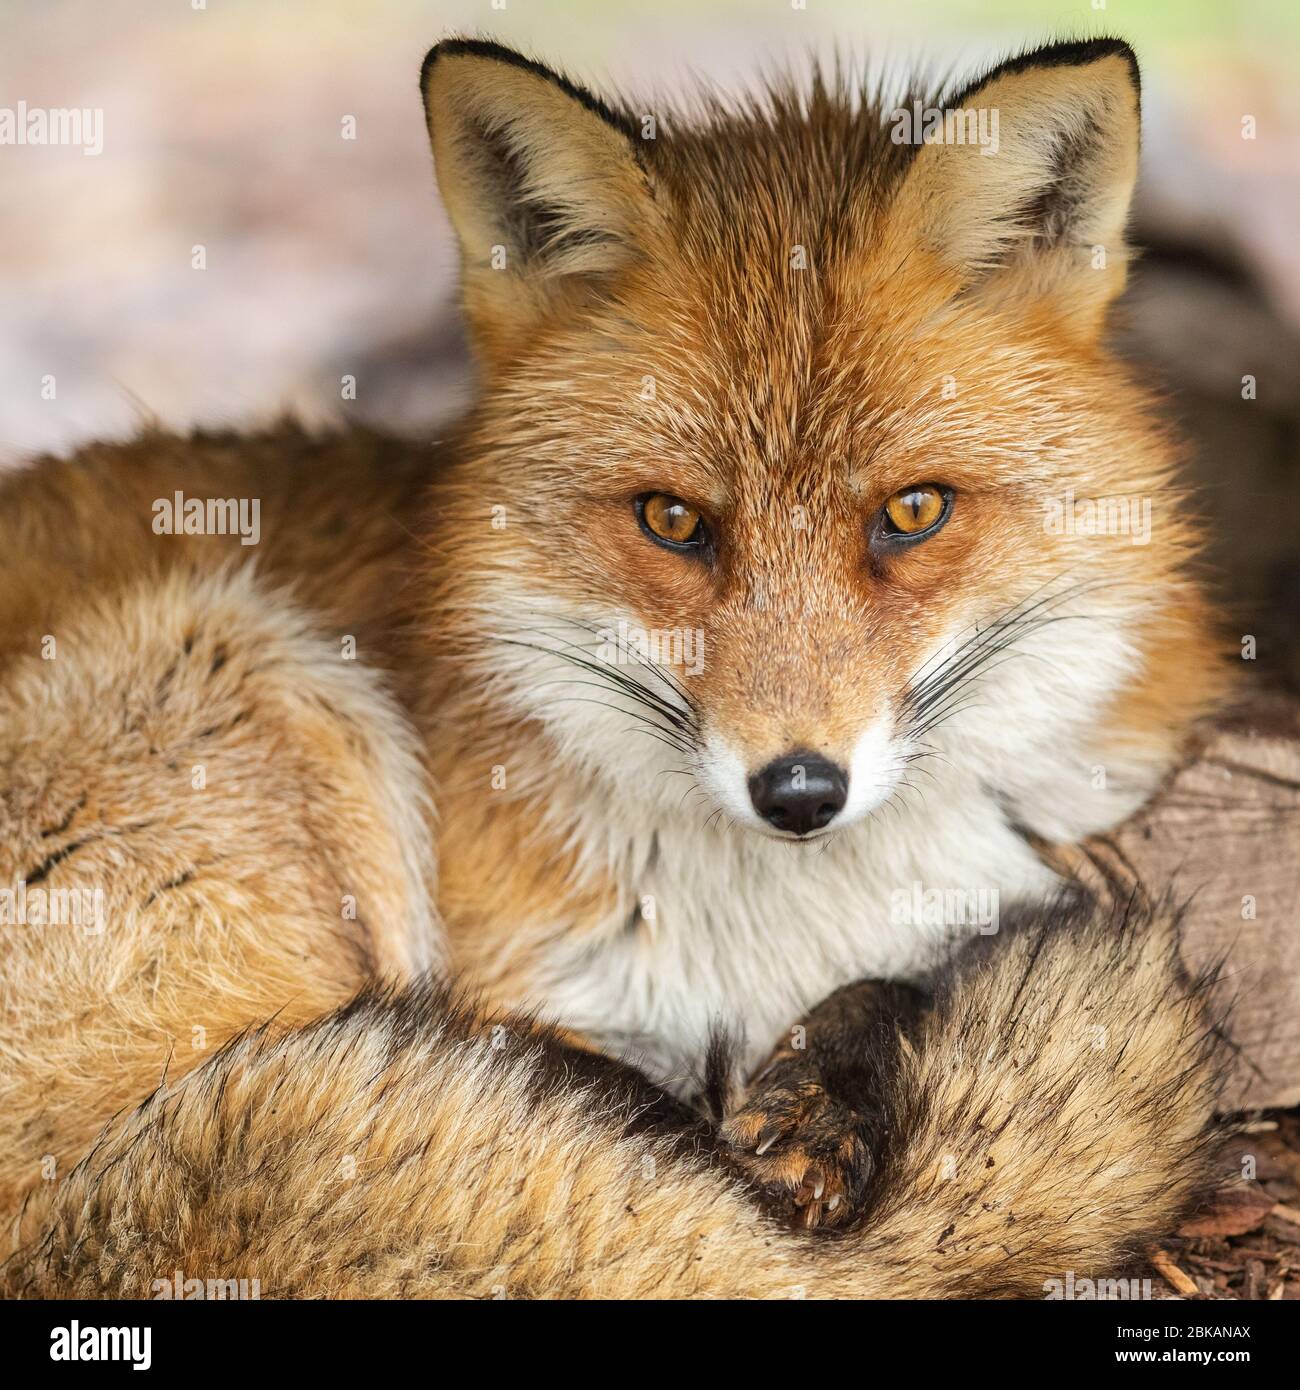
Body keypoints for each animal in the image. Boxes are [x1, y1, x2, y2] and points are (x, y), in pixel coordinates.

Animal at [0, 35, 1230, 1294]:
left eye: (913, 512)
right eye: (673, 521)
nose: (798, 790)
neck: (773, 932)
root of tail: (80, 1217)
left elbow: (893, 983)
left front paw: (819, 1101)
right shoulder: (518, 995)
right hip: (247, 670)